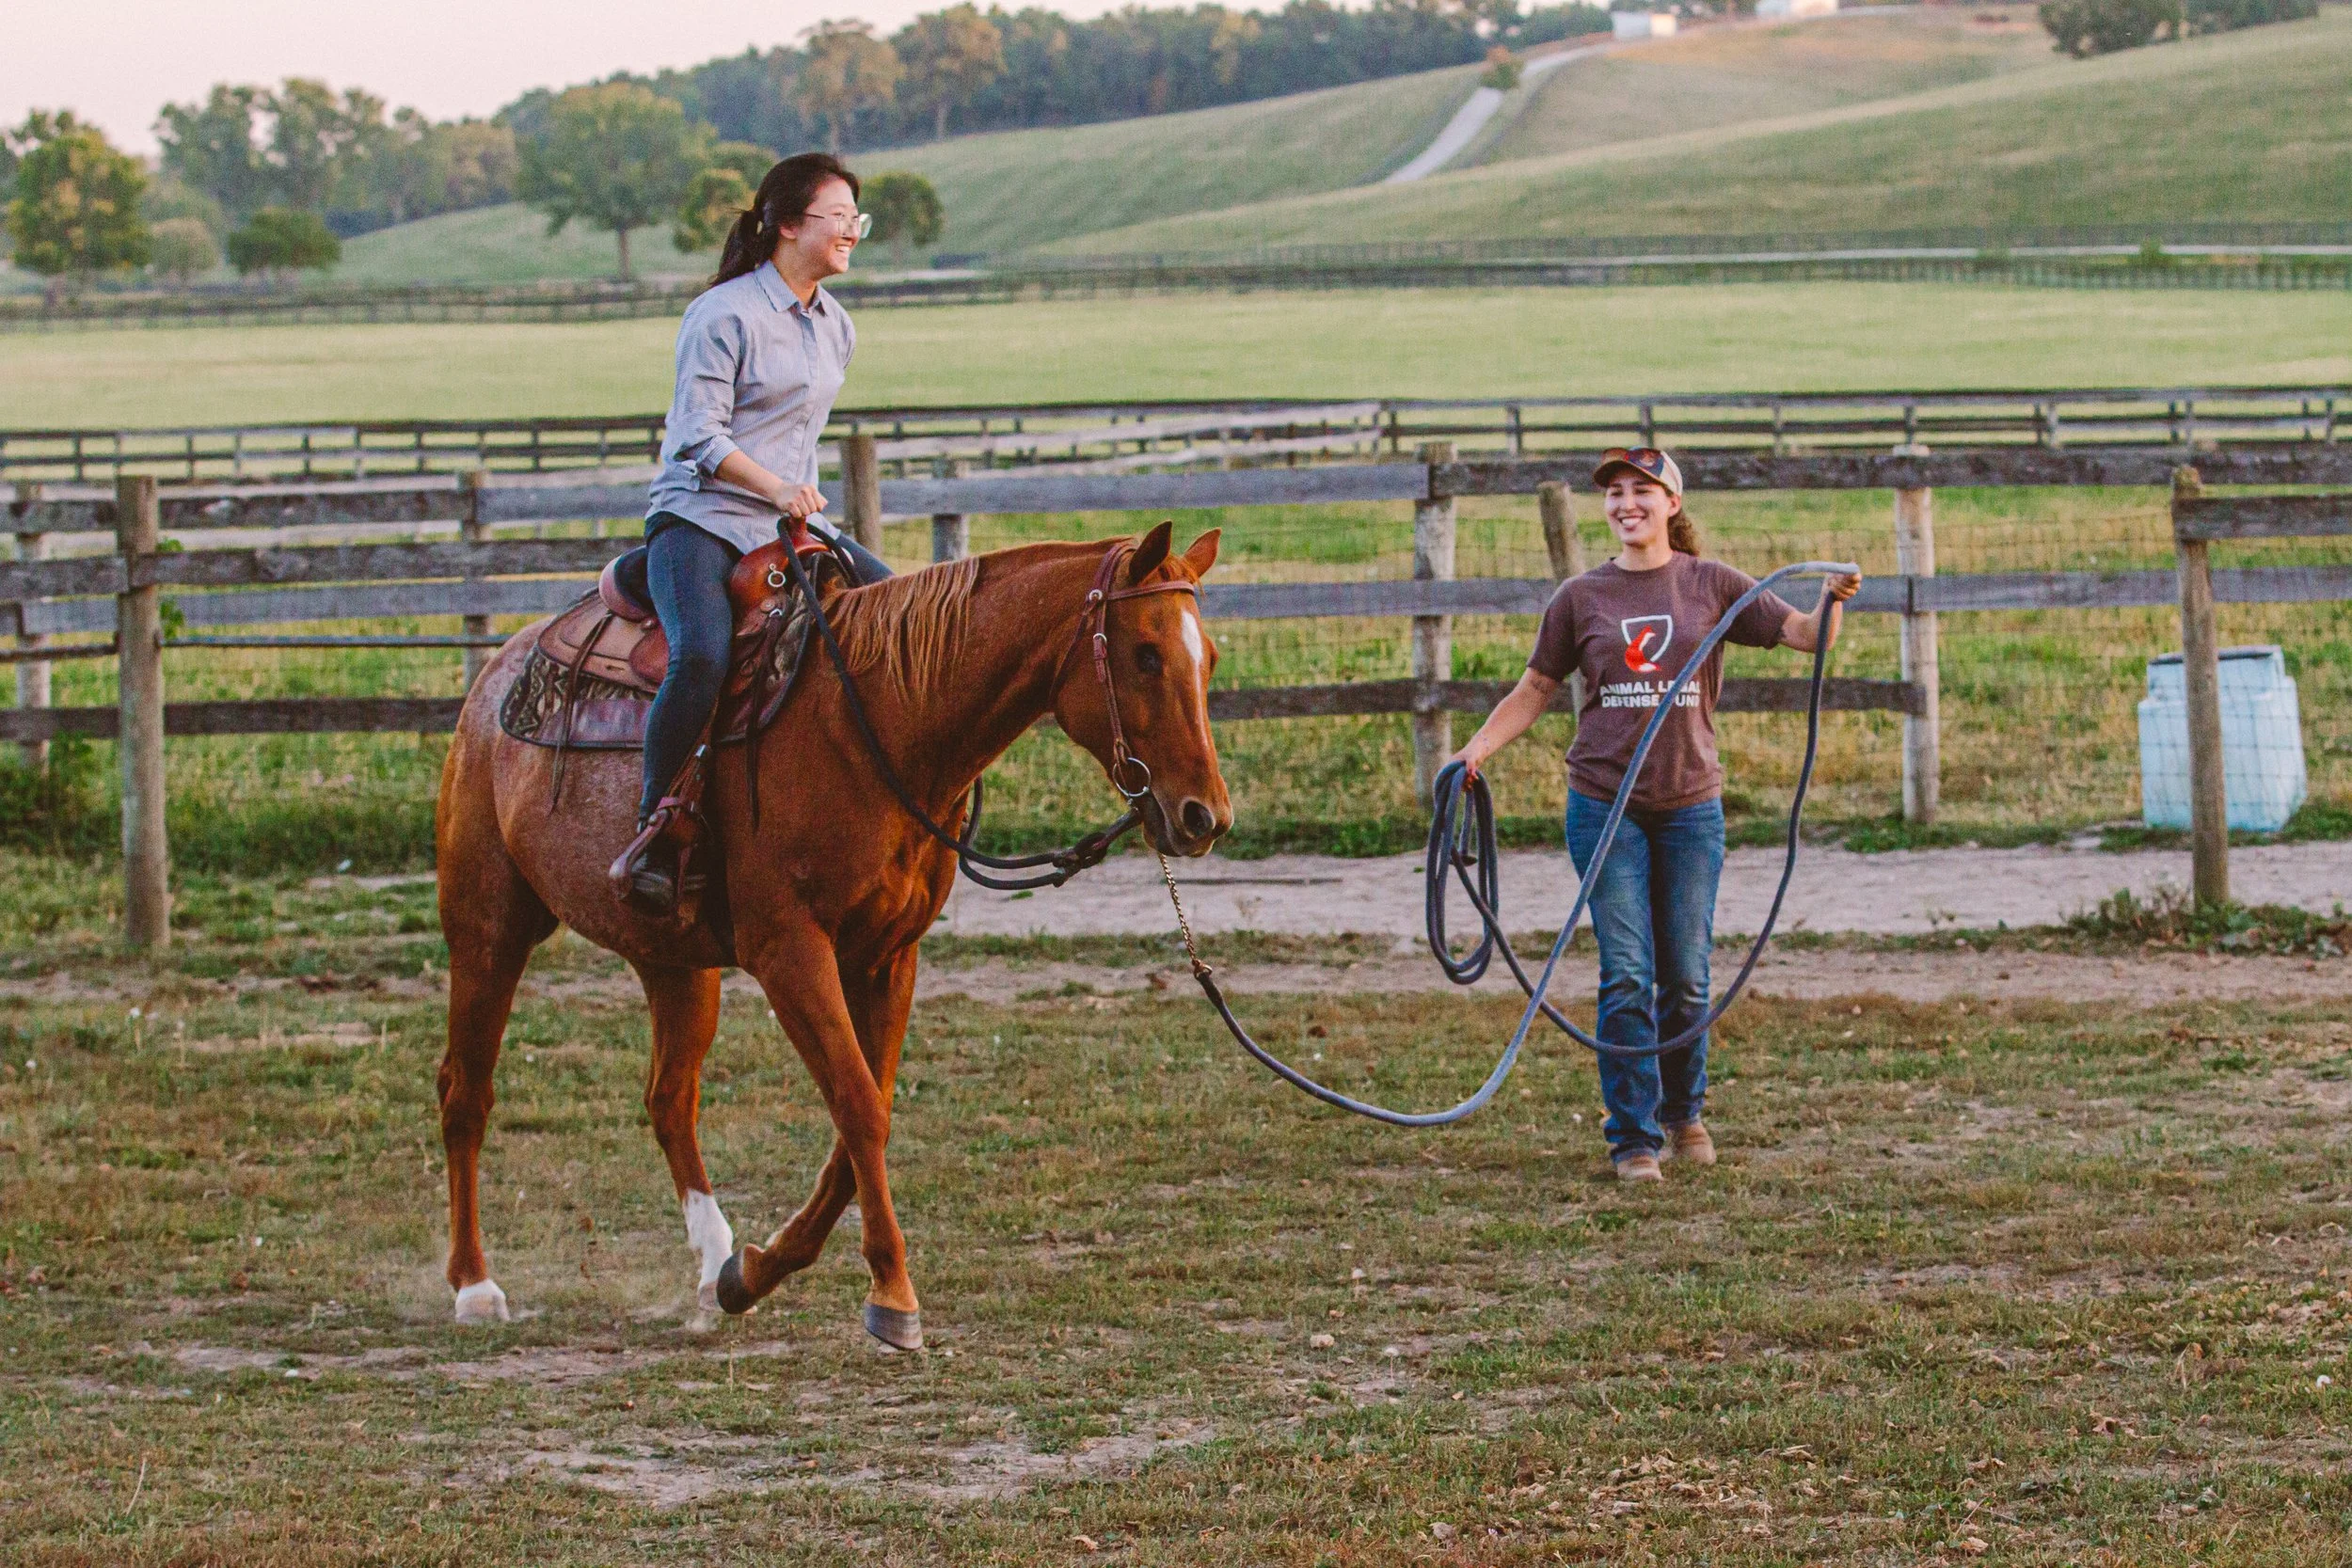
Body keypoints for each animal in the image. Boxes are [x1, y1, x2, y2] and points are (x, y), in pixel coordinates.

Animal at [432, 522, 1231, 1347]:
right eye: (1145, 652)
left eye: (1208, 657)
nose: (1204, 815)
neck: (877, 723)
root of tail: (494, 677)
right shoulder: (790, 951)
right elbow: (857, 1105)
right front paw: (892, 1296)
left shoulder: (887, 955)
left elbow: (863, 1119)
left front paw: (750, 1271)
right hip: (487, 930)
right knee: (466, 1093)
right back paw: (474, 1285)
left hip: (675, 962)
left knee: (669, 1099)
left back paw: (710, 1264)